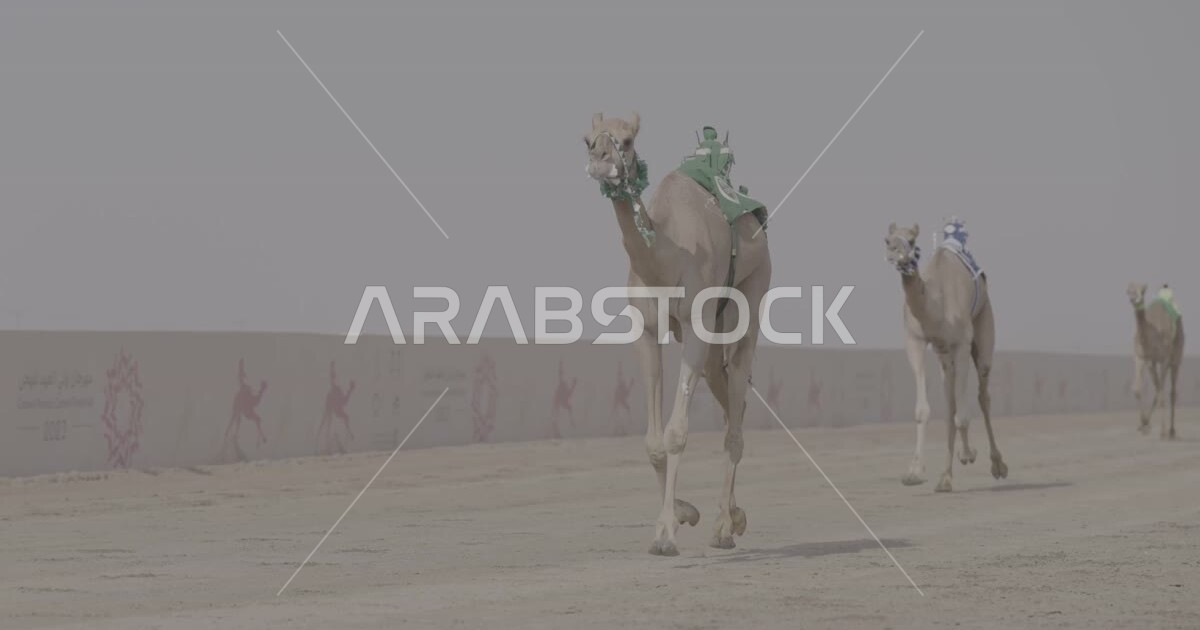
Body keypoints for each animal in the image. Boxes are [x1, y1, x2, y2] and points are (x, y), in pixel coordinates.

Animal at [584, 113, 771, 554]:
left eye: (627, 140)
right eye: (586, 139)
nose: (600, 160)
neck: (665, 258)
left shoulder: (695, 322)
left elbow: (676, 433)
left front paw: (666, 532)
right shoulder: (645, 329)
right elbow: (653, 441)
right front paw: (685, 513)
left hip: (752, 293)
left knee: (736, 398)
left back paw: (724, 528)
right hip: (713, 341)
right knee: (732, 405)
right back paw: (731, 517)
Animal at [884, 221, 1008, 492]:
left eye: (911, 240)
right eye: (887, 240)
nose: (896, 254)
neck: (936, 304)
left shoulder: (961, 342)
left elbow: (963, 413)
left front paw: (969, 454)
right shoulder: (915, 341)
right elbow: (924, 410)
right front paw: (914, 473)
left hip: (983, 326)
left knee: (982, 396)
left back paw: (998, 465)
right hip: (944, 356)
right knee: (950, 401)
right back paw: (945, 478)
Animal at [1126, 283, 1185, 438]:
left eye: (1143, 291)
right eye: (1128, 291)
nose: (1134, 299)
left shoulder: (1163, 359)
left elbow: (1161, 392)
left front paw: (1163, 431)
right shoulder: (1142, 358)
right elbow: (1137, 389)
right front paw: (1143, 423)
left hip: (1175, 358)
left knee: (1171, 392)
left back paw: (1171, 430)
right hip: (1154, 363)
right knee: (1158, 388)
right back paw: (1147, 424)